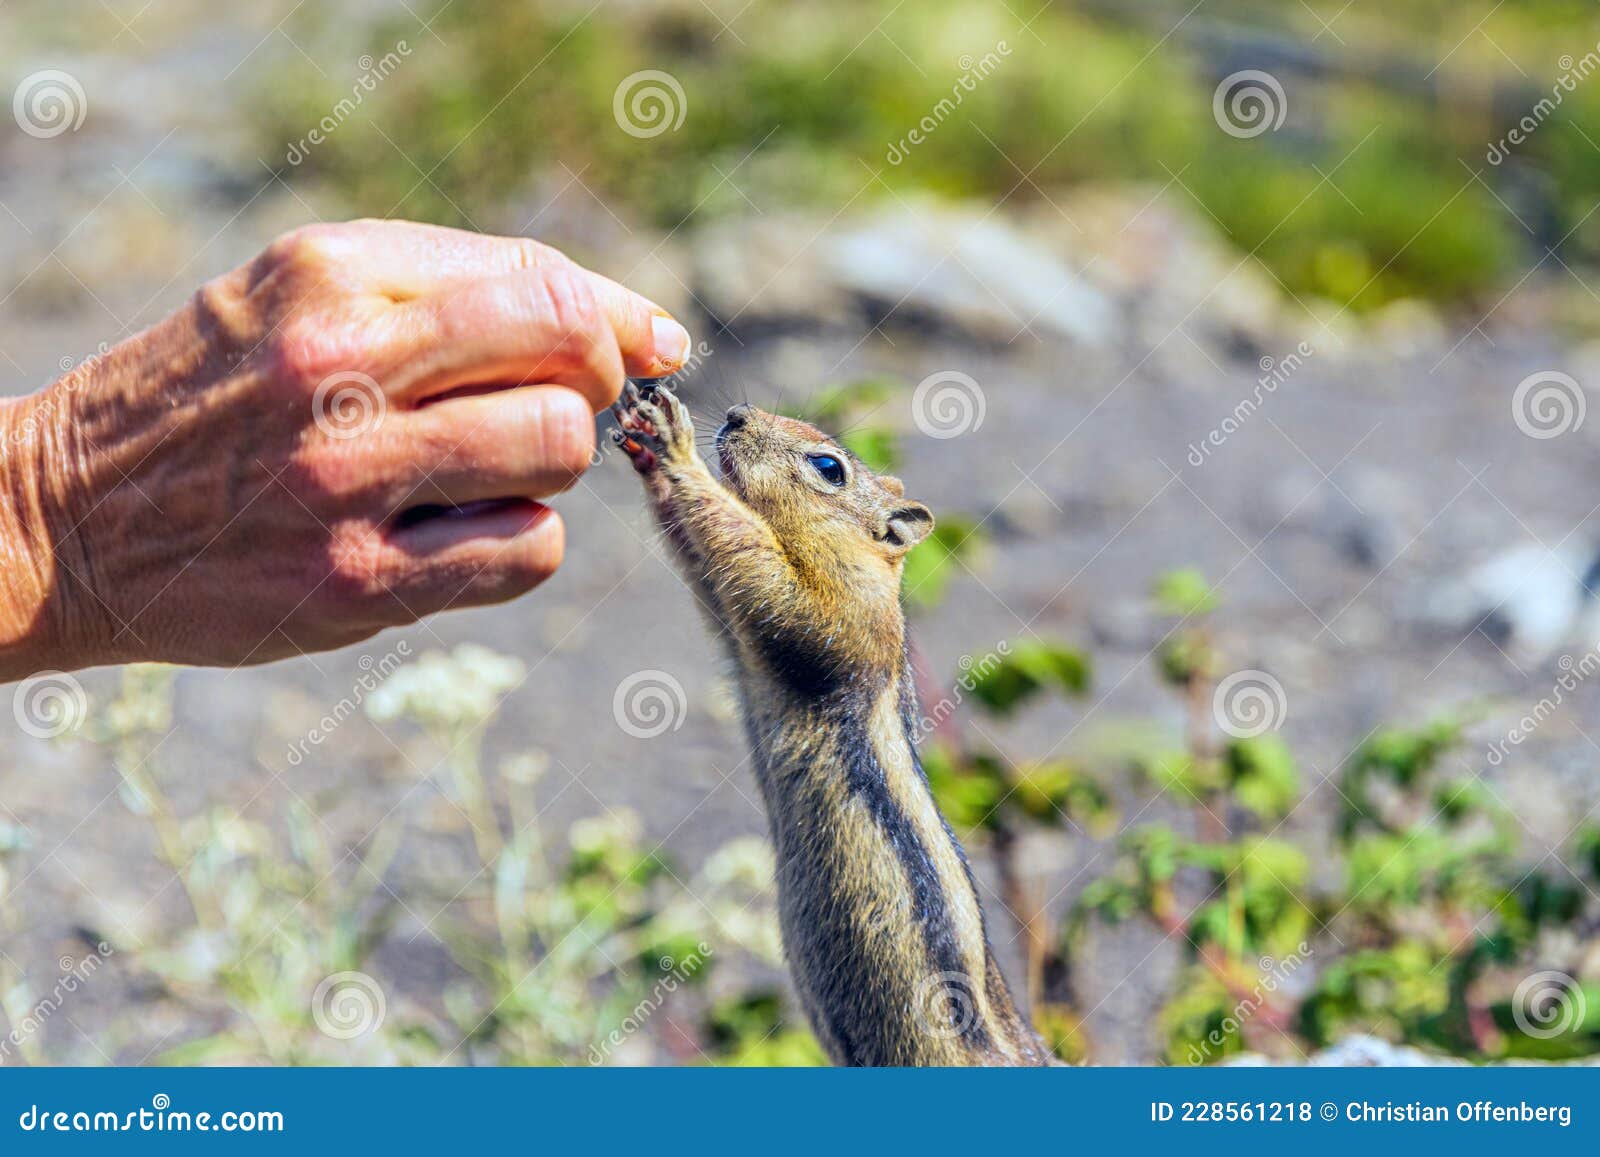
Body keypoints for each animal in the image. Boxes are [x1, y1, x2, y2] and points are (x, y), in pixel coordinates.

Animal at [611, 381, 1052, 1067]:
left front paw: (675, 446)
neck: (866, 561)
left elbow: (763, 566)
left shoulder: (839, 611)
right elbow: (709, 567)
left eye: (828, 467)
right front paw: (648, 451)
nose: (736, 414)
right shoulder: (739, 631)